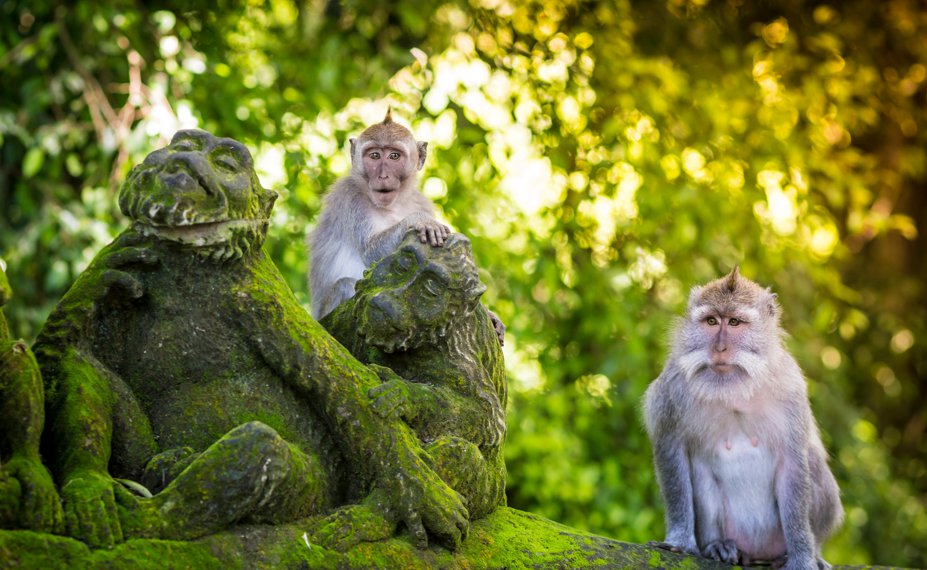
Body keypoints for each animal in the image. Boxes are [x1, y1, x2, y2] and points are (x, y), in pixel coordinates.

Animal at [308, 109, 506, 344]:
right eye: (374, 155)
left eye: (394, 156)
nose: (383, 175)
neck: (392, 204)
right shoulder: (349, 197)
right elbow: (369, 250)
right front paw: (418, 221)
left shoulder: (421, 201)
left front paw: (489, 314)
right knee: (346, 284)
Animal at [643, 267, 843, 570]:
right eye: (712, 321)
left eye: (735, 322)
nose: (719, 348)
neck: (734, 388)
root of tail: (757, 553)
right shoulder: (672, 387)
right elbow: (671, 450)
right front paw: (680, 541)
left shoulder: (791, 387)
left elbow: (794, 463)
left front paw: (803, 558)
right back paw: (718, 545)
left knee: (813, 463)